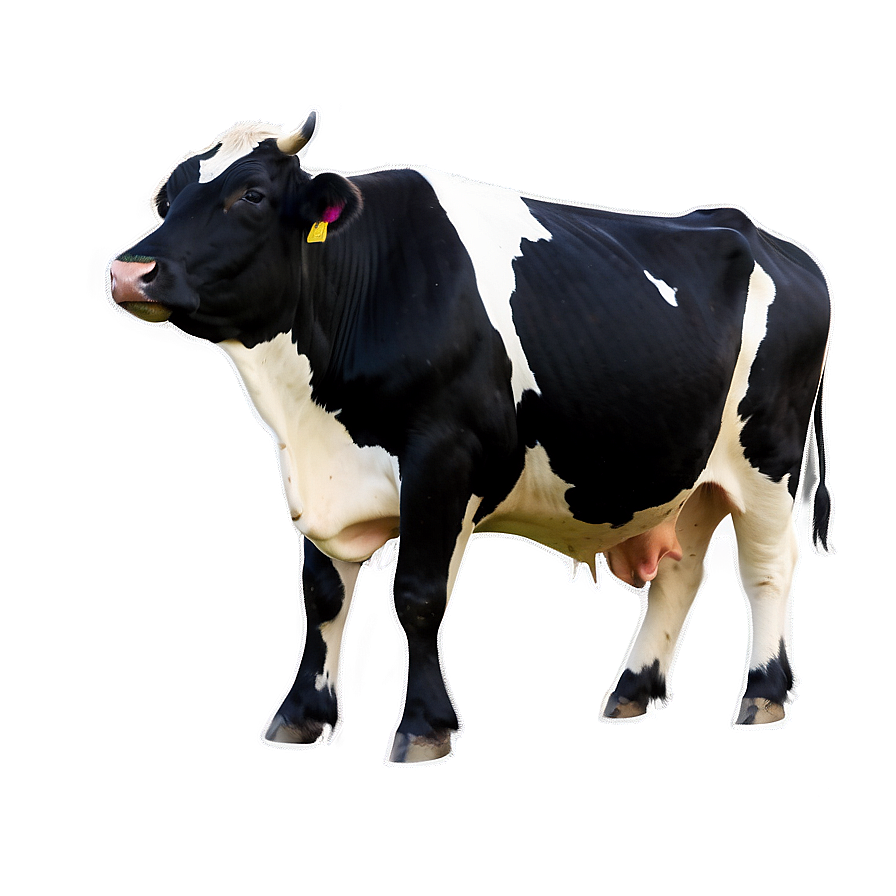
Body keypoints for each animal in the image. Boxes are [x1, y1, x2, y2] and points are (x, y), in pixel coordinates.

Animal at [109, 108, 832, 764]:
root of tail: (773, 242)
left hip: (770, 458)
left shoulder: (443, 456)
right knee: (680, 574)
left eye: (252, 196)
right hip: (691, 474)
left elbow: (417, 594)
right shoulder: (323, 473)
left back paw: (763, 692)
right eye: (168, 199)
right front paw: (301, 714)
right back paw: (631, 690)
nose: (130, 271)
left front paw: (424, 726)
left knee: (769, 567)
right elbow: (321, 593)